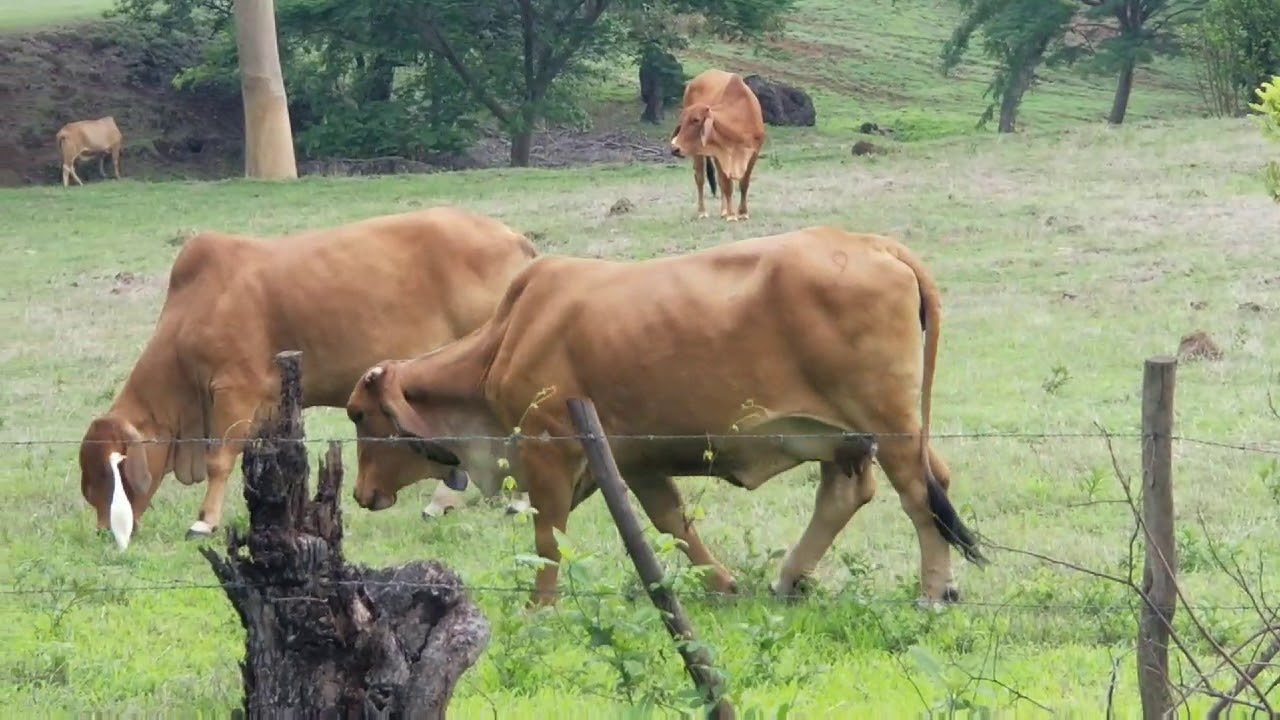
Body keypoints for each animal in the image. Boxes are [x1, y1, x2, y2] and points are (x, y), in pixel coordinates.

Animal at [79, 207, 537, 547]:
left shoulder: (233, 390)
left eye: (107, 477)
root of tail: (515, 239)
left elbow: (219, 460)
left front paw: (203, 522)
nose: (103, 533)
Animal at [344, 225, 989, 609]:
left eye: (356, 415)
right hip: (849, 437)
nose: (361, 493)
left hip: (890, 425)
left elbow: (548, 537)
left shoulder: (547, 451)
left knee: (918, 497)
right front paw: (722, 583)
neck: (504, 341)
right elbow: (672, 522)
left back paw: (933, 591)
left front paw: (539, 606)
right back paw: (790, 577)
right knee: (862, 492)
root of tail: (873, 242)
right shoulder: (637, 461)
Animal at [669, 69, 766, 222]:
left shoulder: (754, 153)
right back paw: (703, 212)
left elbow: (744, 183)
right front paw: (732, 215)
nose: (675, 148)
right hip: (699, 154)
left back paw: (723, 211)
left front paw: (742, 212)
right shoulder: (721, 154)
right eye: (682, 120)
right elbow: (727, 184)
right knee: (701, 178)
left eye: (696, 120)